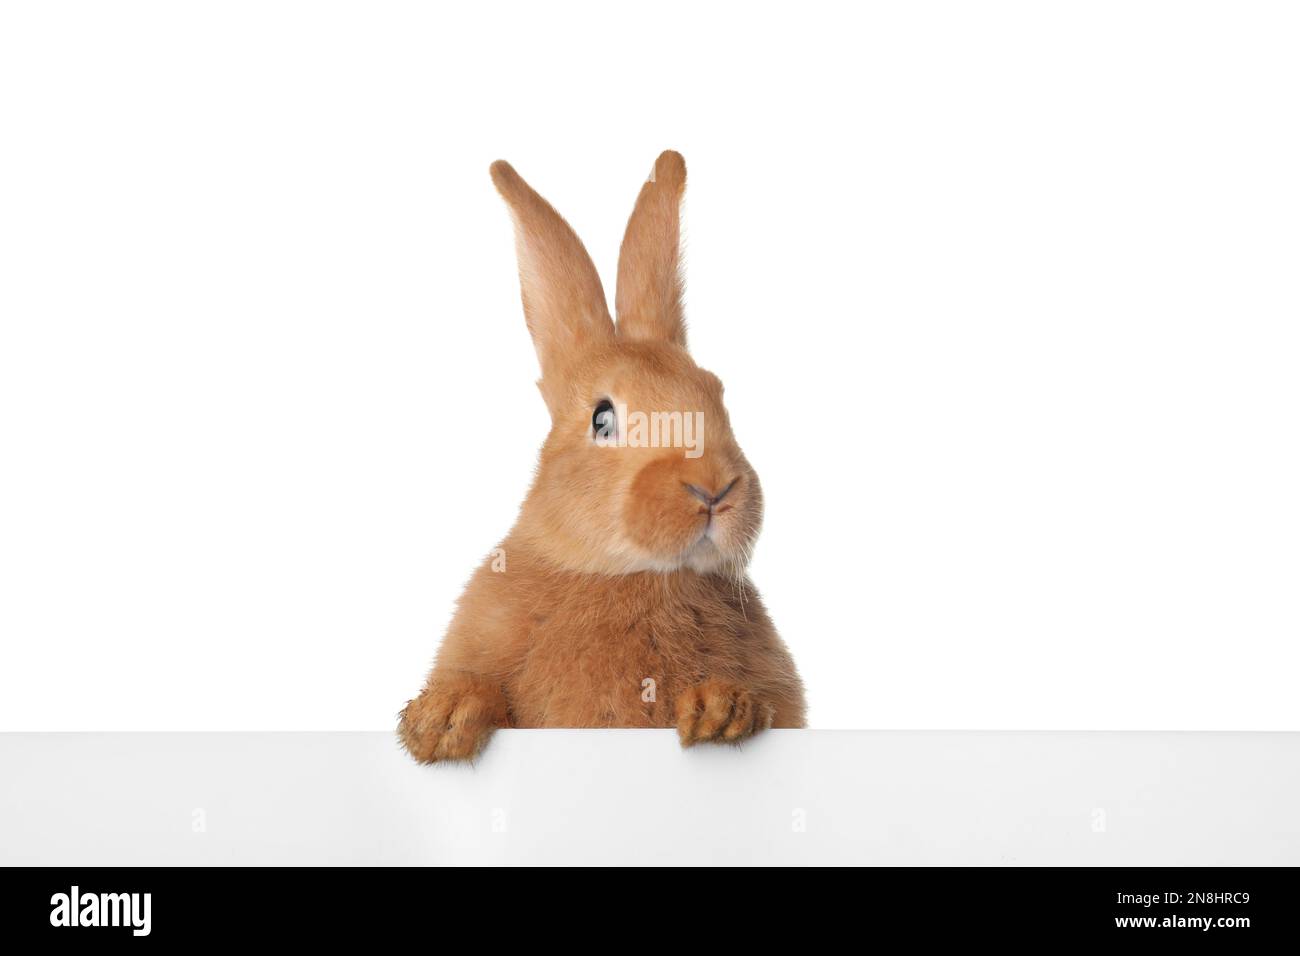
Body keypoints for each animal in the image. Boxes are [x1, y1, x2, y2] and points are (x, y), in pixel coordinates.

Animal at [398, 151, 806, 762]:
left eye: (717, 394)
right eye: (602, 418)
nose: (713, 486)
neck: (627, 573)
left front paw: (721, 707)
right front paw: (443, 718)